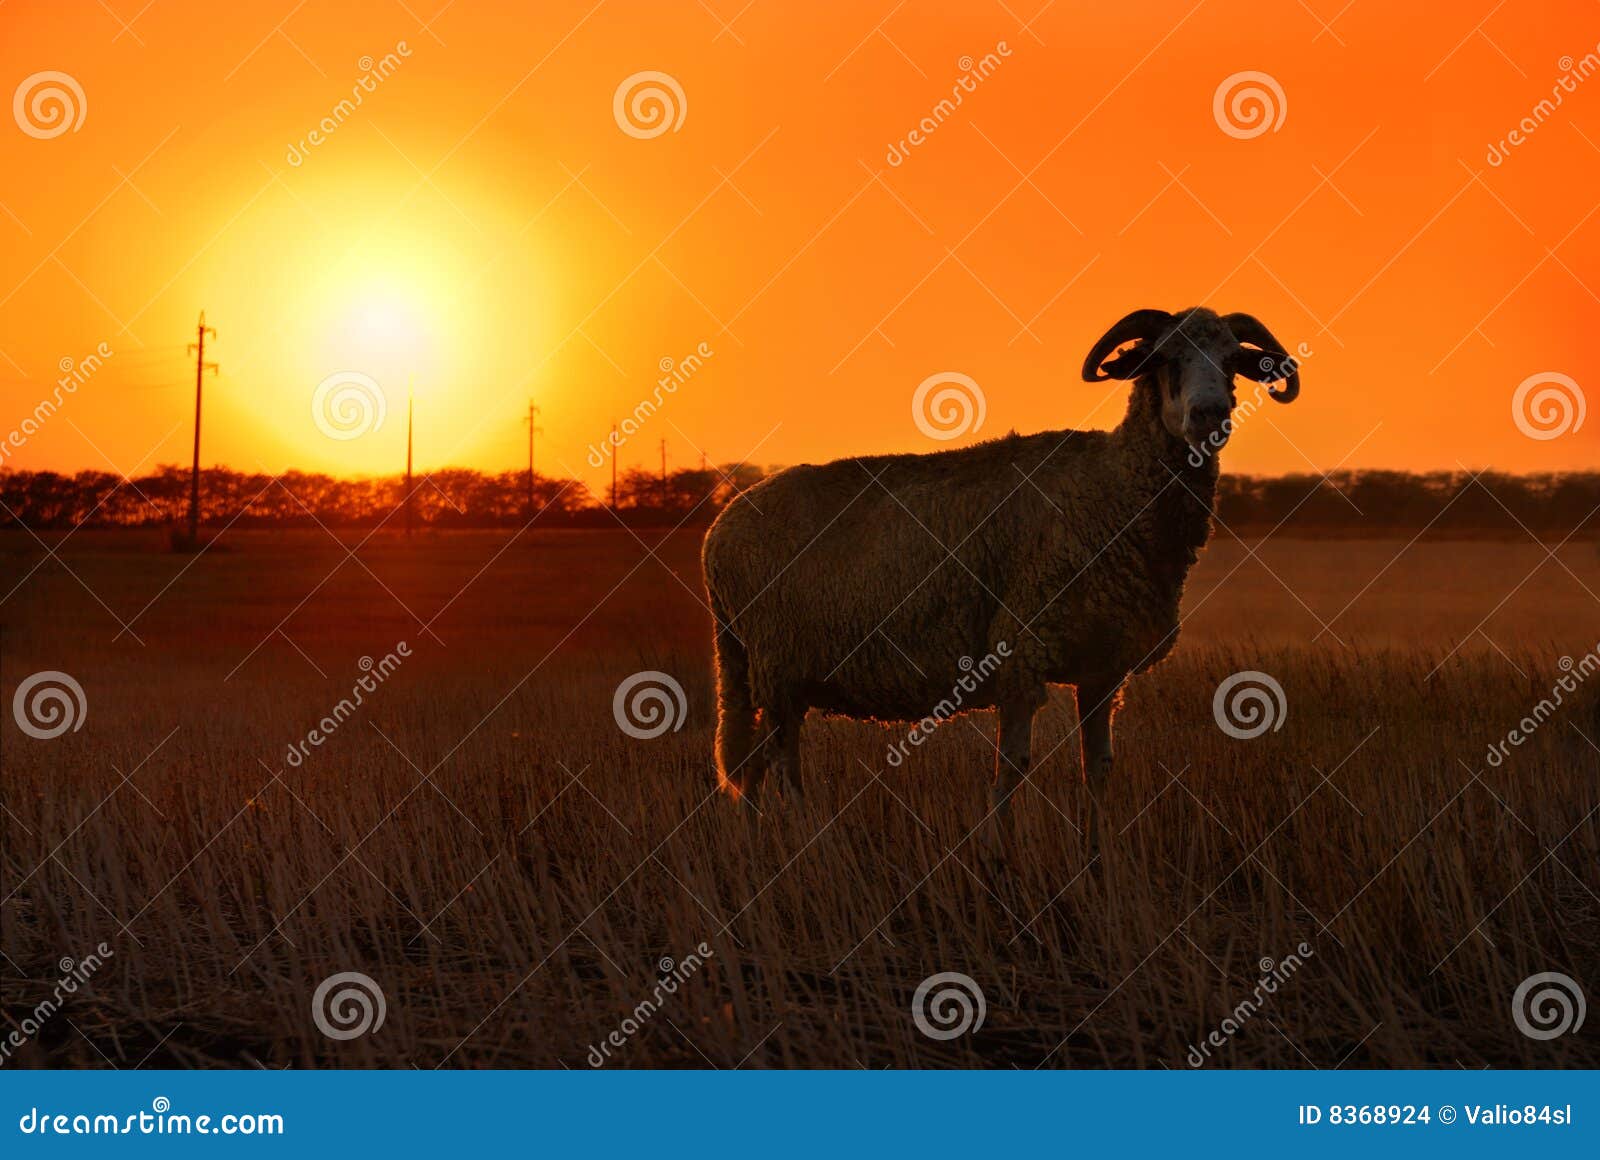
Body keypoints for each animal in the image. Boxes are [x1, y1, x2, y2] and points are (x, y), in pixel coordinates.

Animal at [701, 306, 1302, 832]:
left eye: (1232, 359)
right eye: (1164, 357)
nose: (1210, 415)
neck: (1112, 489)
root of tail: (719, 530)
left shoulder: (1102, 670)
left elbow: (1098, 770)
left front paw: (1098, 856)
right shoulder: (1019, 657)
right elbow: (1010, 771)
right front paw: (1001, 853)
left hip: (772, 673)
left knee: (753, 767)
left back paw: (756, 844)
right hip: (776, 667)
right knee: (782, 771)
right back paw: (804, 840)